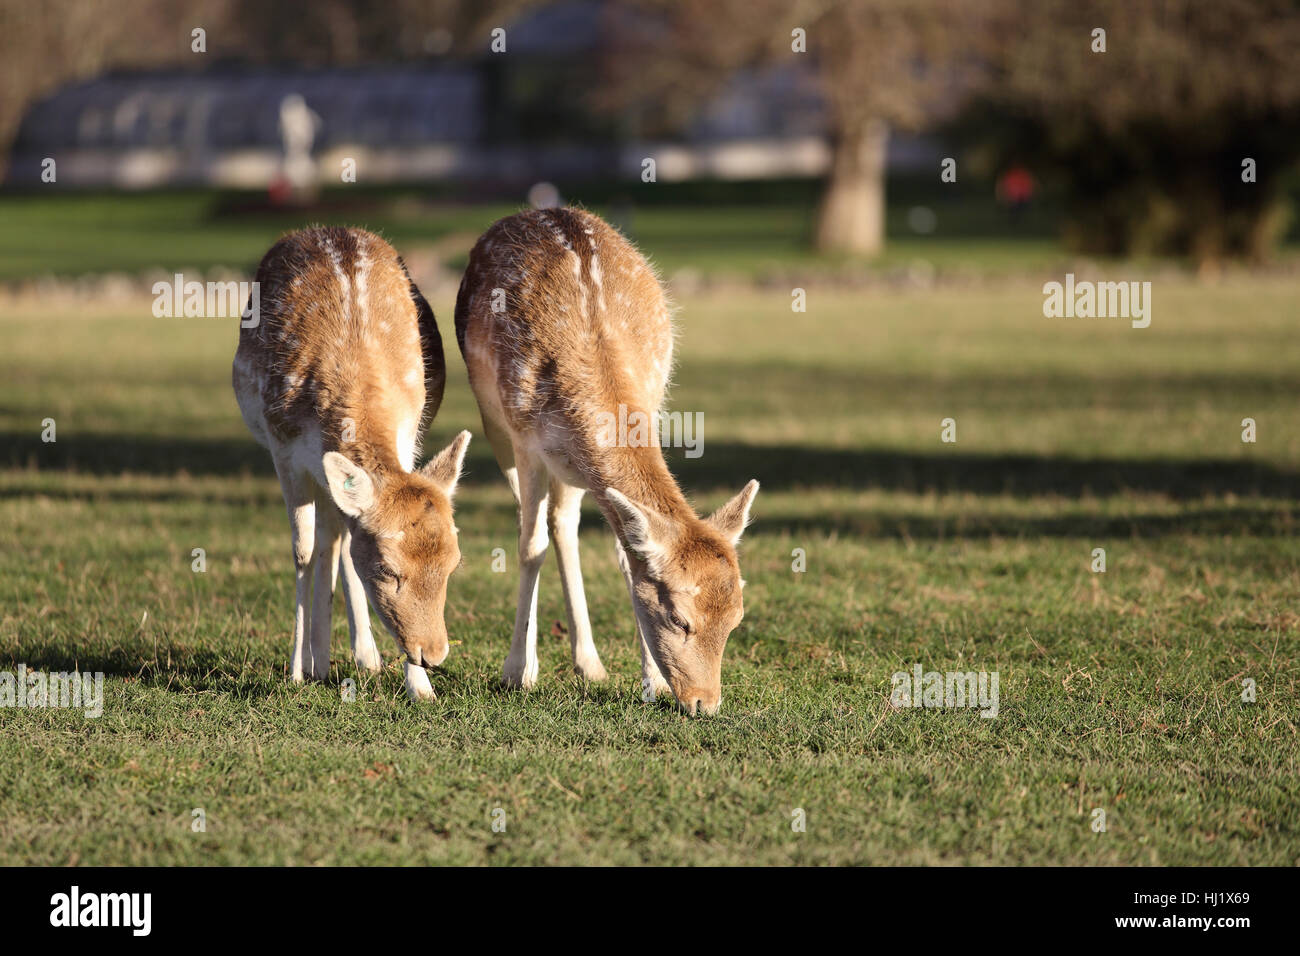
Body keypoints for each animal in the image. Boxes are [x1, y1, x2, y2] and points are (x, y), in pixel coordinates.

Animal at [233, 226, 471, 701]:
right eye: (387, 569)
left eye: (453, 564)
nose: (433, 654)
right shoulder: (283, 447)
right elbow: (303, 551)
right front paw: (296, 670)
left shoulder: (409, 432)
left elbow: (340, 541)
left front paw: (420, 688)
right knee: (329, 538)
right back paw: (318, 661)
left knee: (340, 536)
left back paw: (361, 657)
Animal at [454, 208, 759, 716]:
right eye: (680, 619)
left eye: (736, 618)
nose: (705, 703)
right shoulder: (524, 439)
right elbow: (529, 546)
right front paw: (517, 672)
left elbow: (625, 555)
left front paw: (653, 683)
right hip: (493, 420)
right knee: (534, 524)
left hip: (574, 470)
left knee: (564, 522)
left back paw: (589, 664)